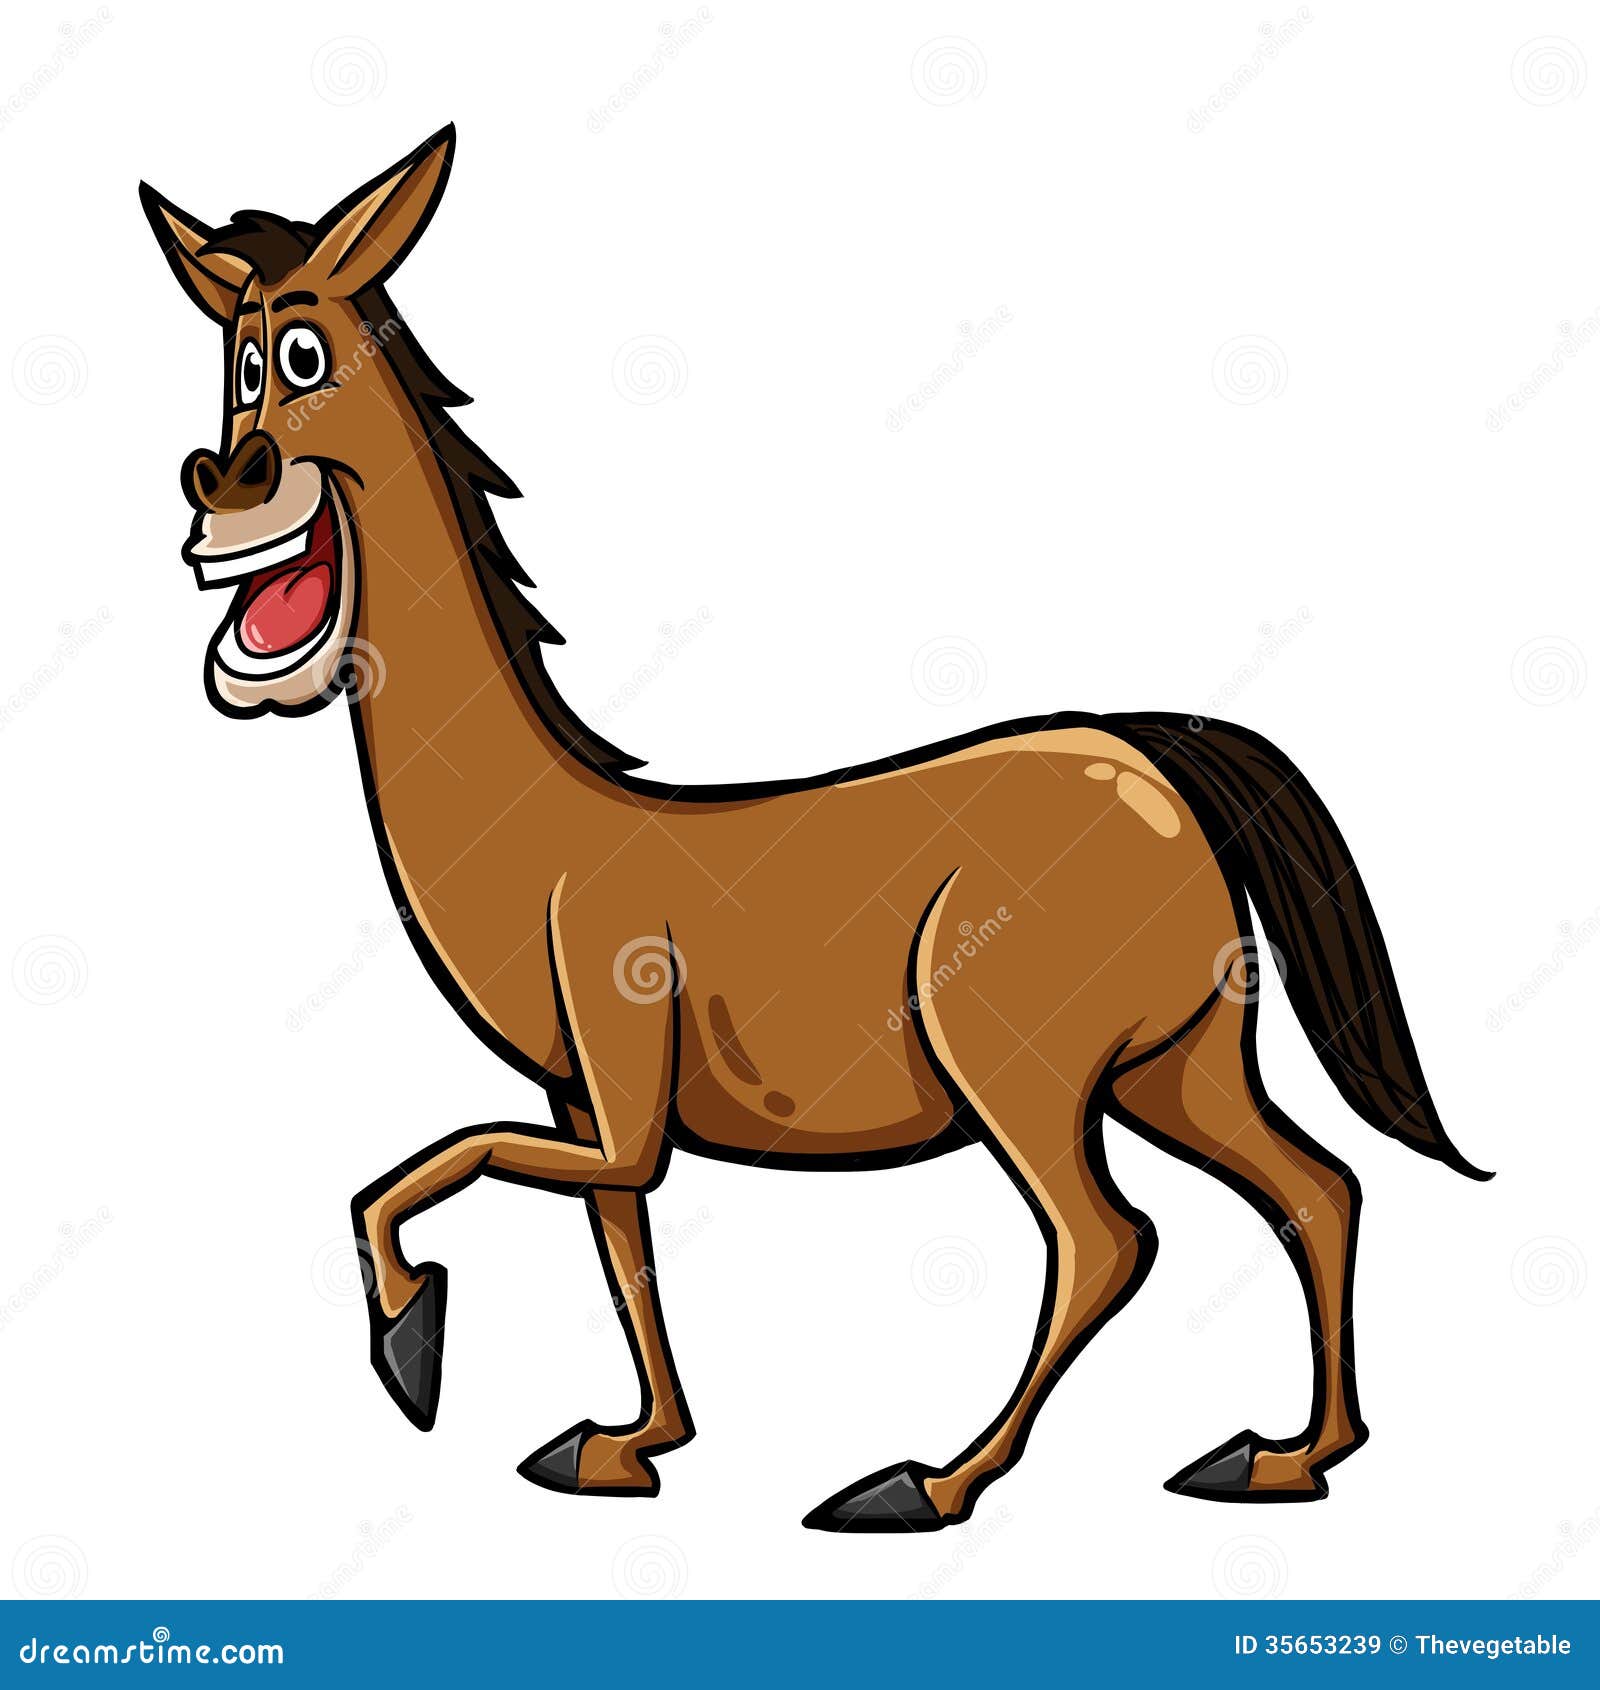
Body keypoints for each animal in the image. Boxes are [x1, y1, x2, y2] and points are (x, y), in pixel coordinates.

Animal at [140, 126, 1488, 1533]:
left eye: (302, 357)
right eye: (234, 363)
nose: (213, 486)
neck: (544, 837)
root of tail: (1147, 756)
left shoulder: (614, 1086)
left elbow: (432, 1167)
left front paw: (413, 1344)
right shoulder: (586, 1096)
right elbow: (621, 1244)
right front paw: (626, 1444)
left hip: (1023, 1064)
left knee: (1106, 1239)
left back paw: (927, 1480)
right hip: (1178, 1059)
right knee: (1315, 1188)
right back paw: (1286, 1457)